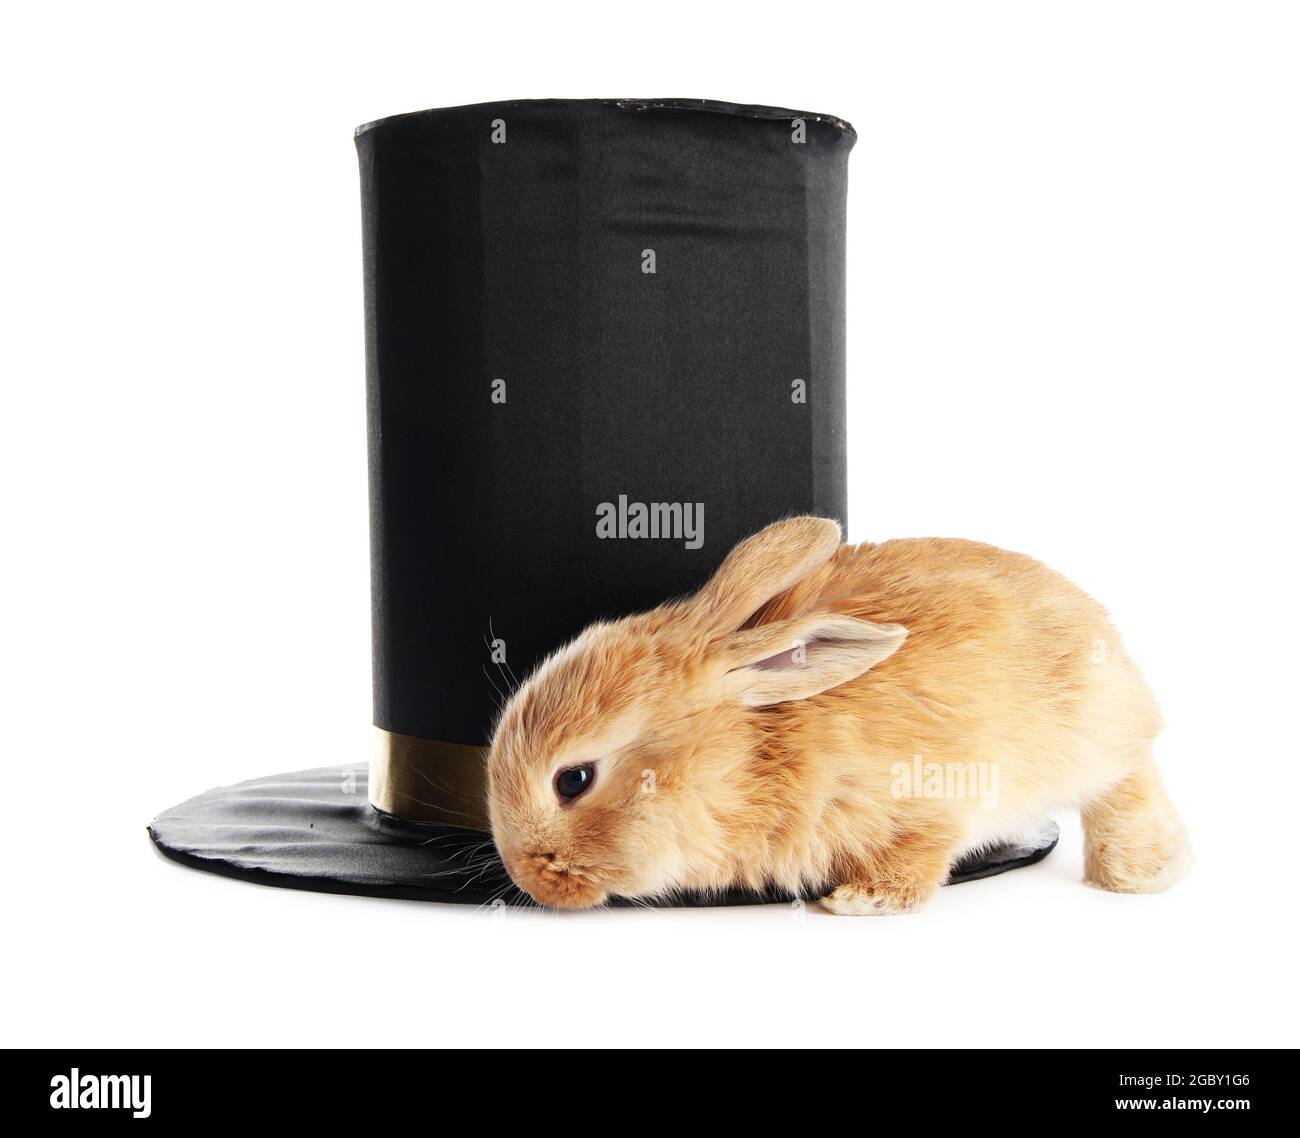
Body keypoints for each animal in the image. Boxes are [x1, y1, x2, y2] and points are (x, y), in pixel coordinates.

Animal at [486, 516, 1190, 913]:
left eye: (573, 780)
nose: (528, 878)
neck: (744, 752)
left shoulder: (925, 800)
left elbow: (920, 857)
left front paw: (859, 901)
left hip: (1095, 744)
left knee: (1126, 788)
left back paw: (1138, 876)